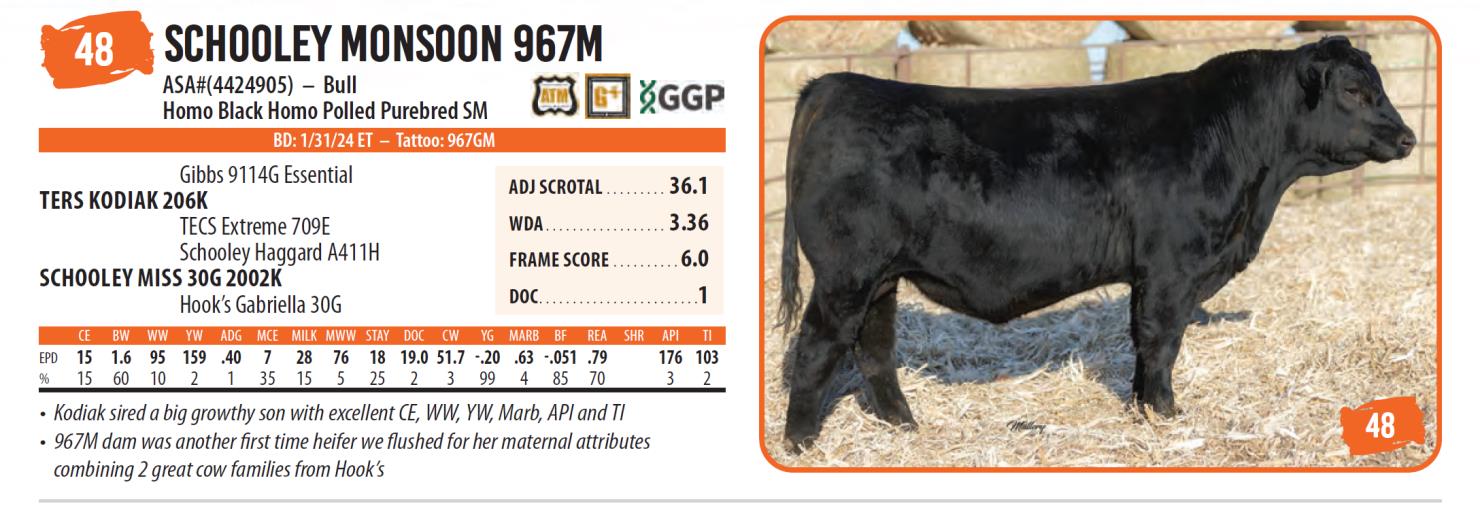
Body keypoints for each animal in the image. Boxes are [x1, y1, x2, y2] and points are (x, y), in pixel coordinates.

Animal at [776, 36, 1415, 452]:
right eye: (1355, 90)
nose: (1408, 137)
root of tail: (834, 84)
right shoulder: (1171, 268)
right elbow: (1161, 342)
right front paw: (1166, 413)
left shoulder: (1154, 273)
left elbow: (1143, 344)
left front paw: (1143, 409)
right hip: (846, 275)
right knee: (817, 347)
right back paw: (801, 443)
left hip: (880, 278)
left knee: (873, 350)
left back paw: (904, 426)